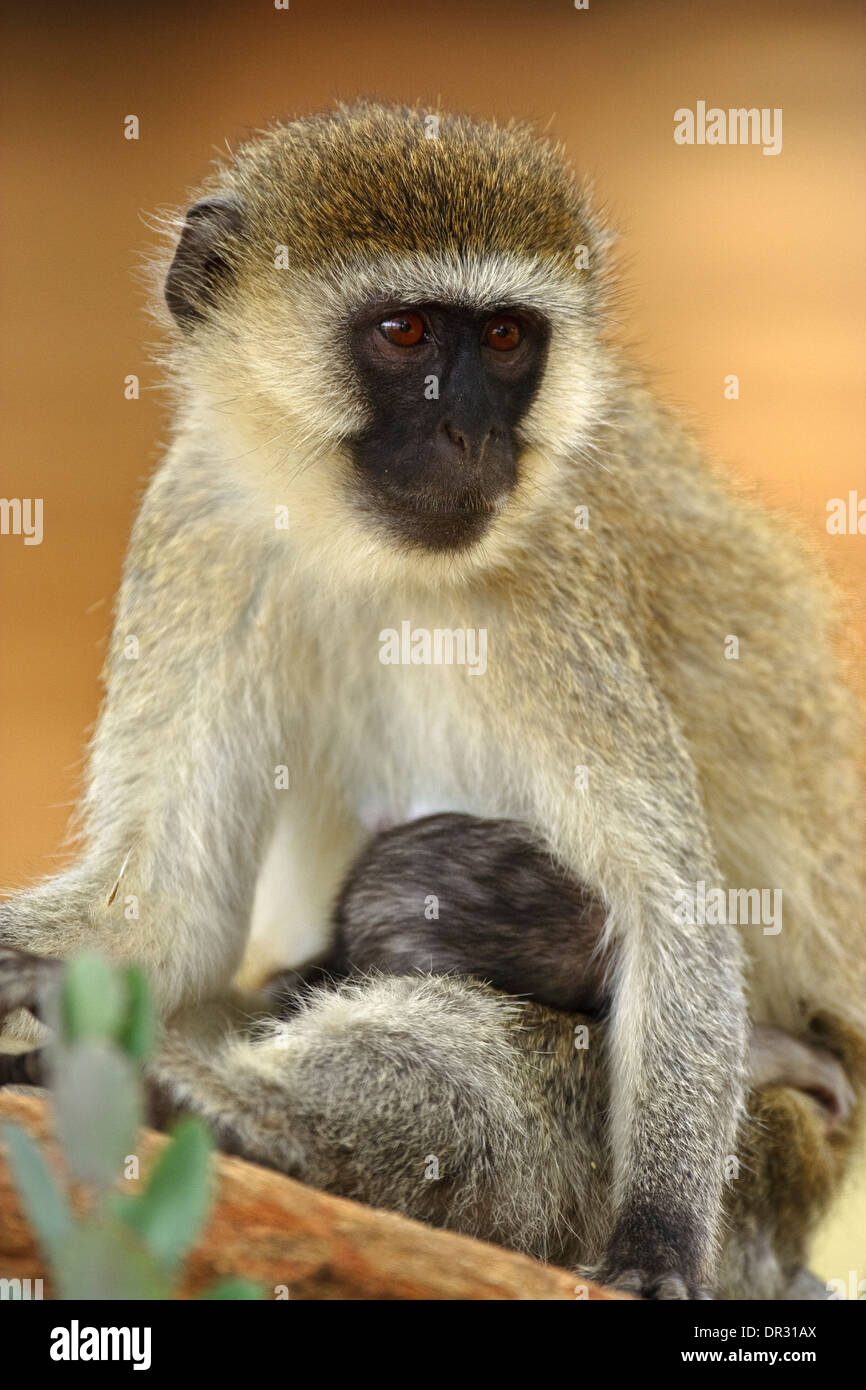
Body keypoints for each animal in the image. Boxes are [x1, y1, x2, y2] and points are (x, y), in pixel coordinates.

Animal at [1, 101, 864, 1298]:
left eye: (503, 339)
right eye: (405, 333)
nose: (471, 436)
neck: (363, 546)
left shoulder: (555, 579)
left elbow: (669, 909)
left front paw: (655, 1236)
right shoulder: (199, 518)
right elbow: (163, 911)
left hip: (769, 1163)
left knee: (473, 1055)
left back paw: (238, 1115)